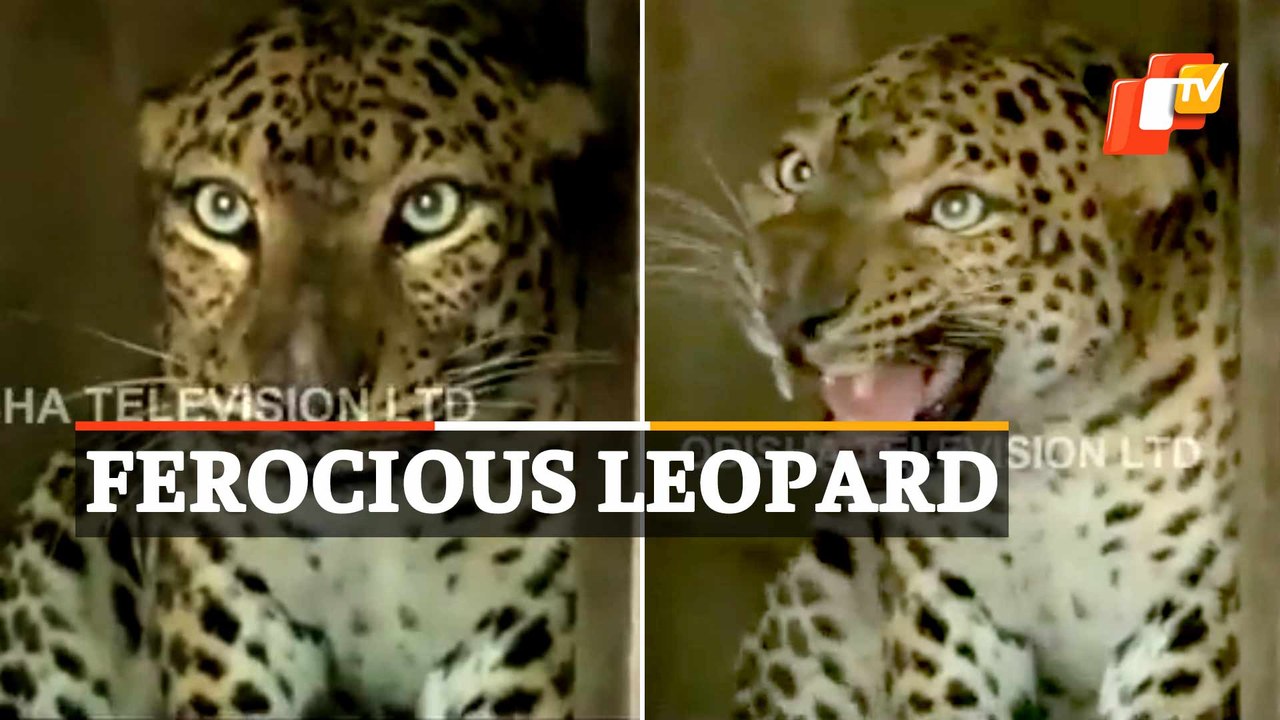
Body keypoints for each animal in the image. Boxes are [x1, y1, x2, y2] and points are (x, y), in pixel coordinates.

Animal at [659, 26, 1238, 720]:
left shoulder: (1194, 609)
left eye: (957, 208)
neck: (1049, 449)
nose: (783, 310)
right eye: (795, 172)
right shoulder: (946, 610)